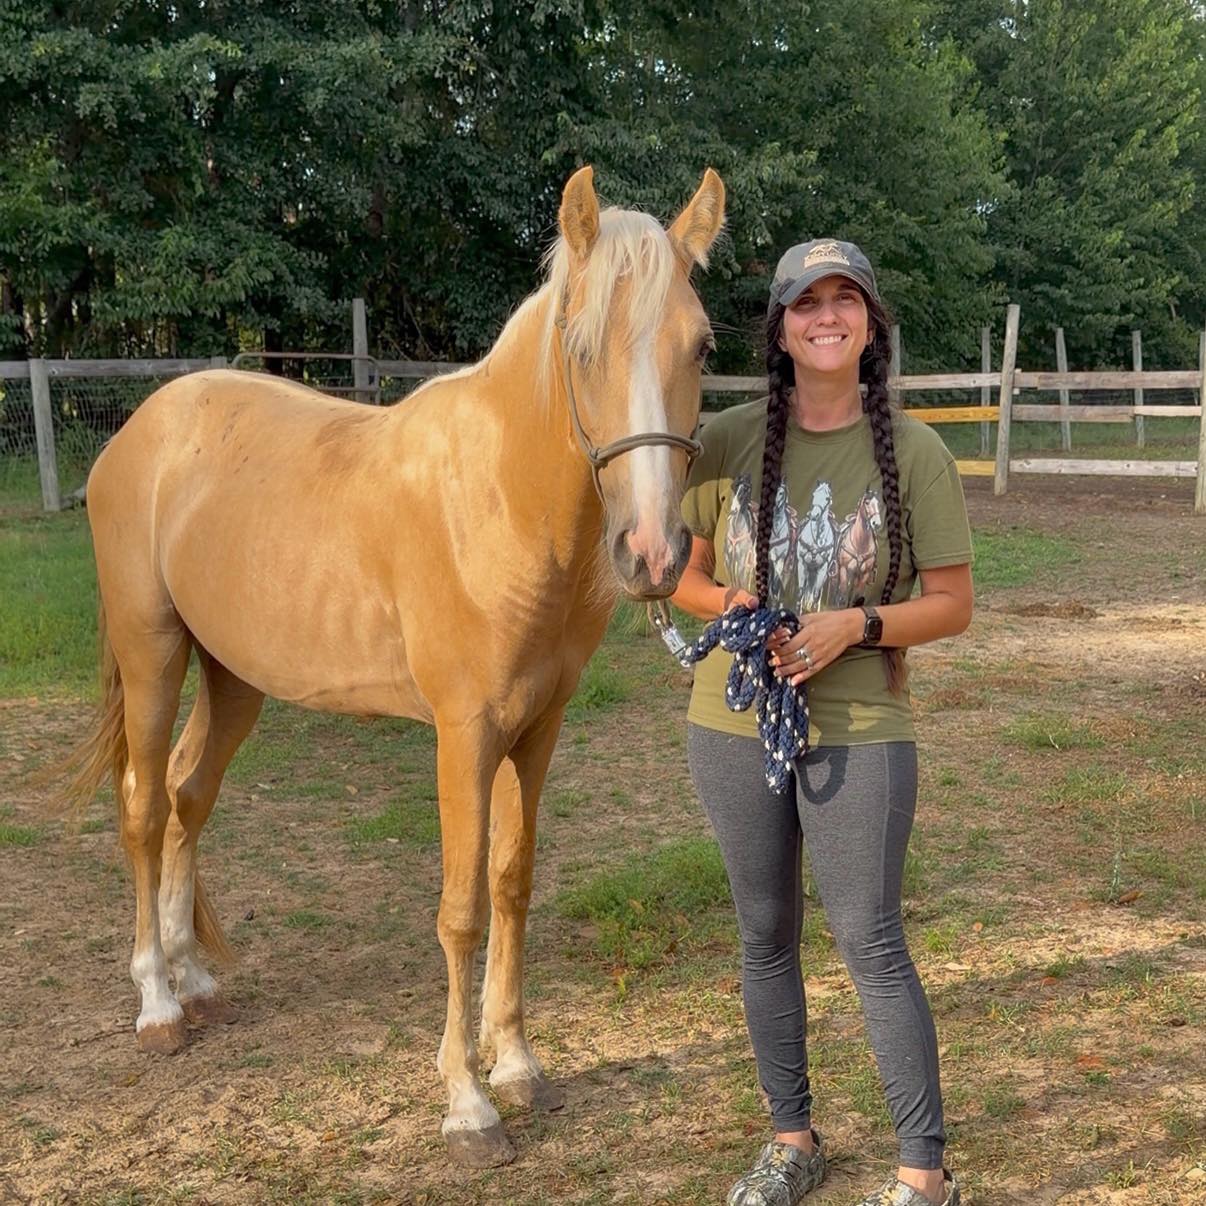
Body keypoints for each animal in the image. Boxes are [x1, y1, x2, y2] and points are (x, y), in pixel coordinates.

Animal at [62, 165, 725, 1168]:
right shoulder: (464, 736)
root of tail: (140, 429)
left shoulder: (536, 733)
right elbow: (461, 909)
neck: (496, 499)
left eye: (702, 344)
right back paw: (158, 1004)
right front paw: (467, 1104)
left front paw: (519, 1065)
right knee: (143, 807)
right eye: (579, 347)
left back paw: (195, 978)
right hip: (152, 653)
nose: (651, 553)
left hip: (233, 676)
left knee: (186, 793)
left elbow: (512, 886)